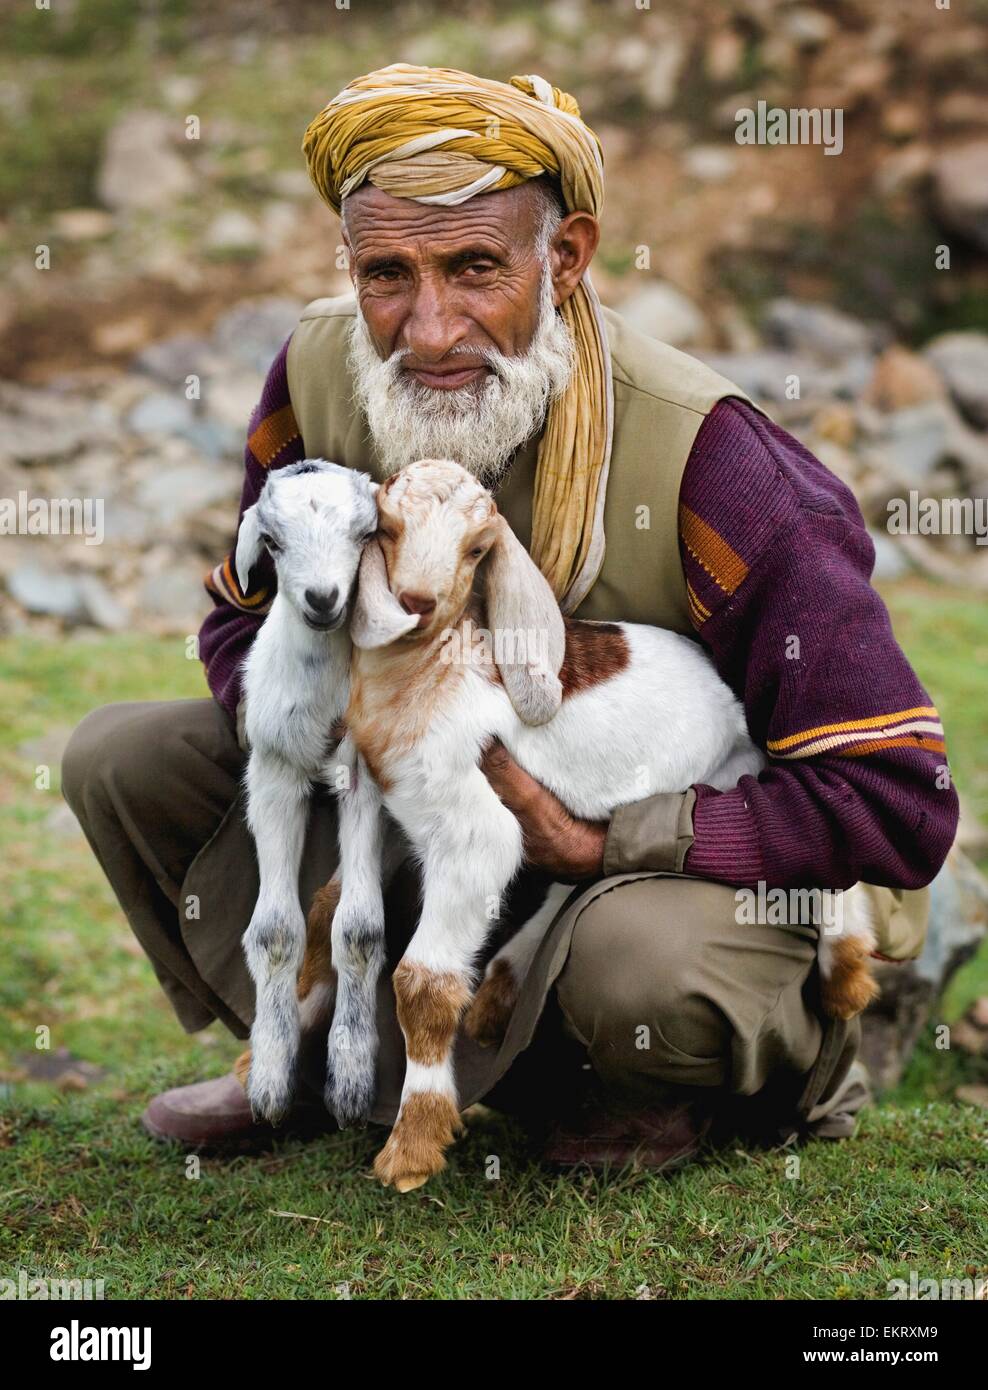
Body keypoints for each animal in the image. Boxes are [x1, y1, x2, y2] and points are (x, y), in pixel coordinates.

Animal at [325, 458, 877, 1192]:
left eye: (477, 550)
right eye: (386, 529)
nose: (417, 600)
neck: (428, 670)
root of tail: (729, 697)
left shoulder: (472, 830)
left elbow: (423, 982)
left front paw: (410, 1150)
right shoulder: (367, 792)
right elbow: (349, 923)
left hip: (724, 776)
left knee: (814, 844)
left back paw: (846, 969)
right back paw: (503, 985)